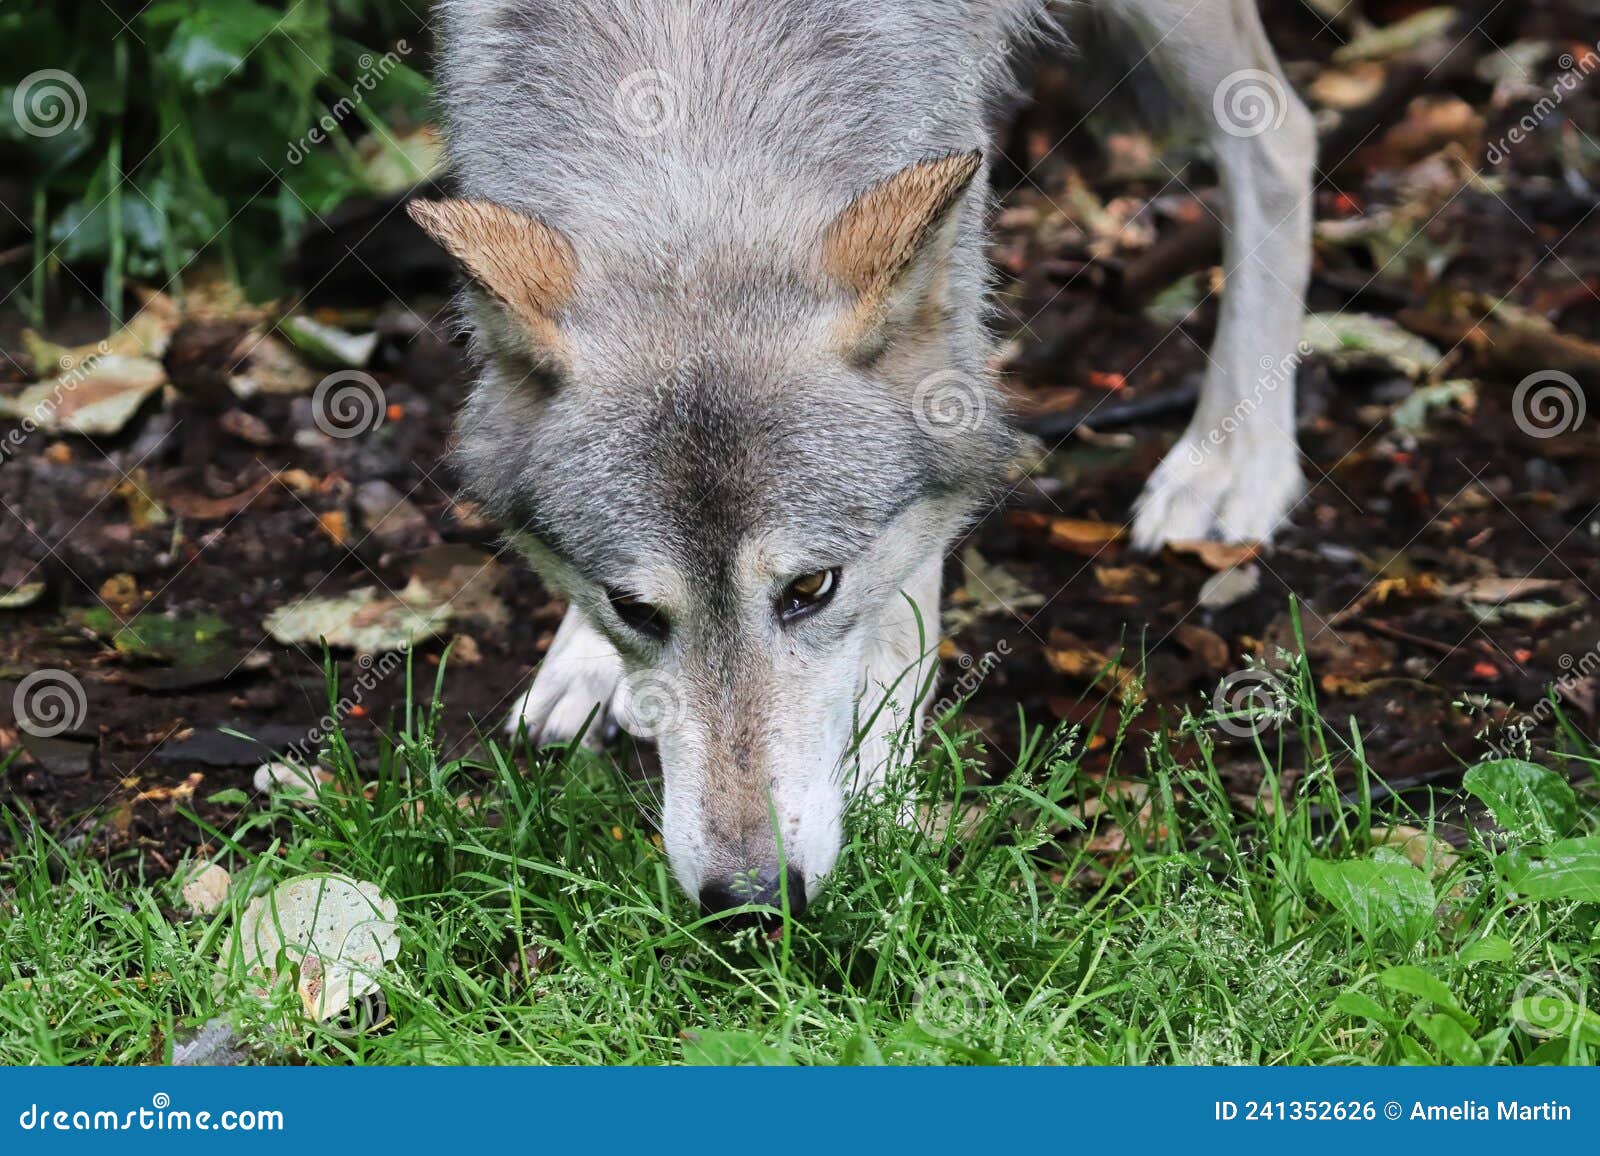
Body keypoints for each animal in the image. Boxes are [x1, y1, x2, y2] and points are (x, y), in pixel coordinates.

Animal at [412, 0, 1315, 918]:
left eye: (811, 588)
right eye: (632, 607)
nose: (750, 898)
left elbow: (900, 620)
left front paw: (882, 813)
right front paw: (588, 660)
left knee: (1277, 133)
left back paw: (1236, 462)